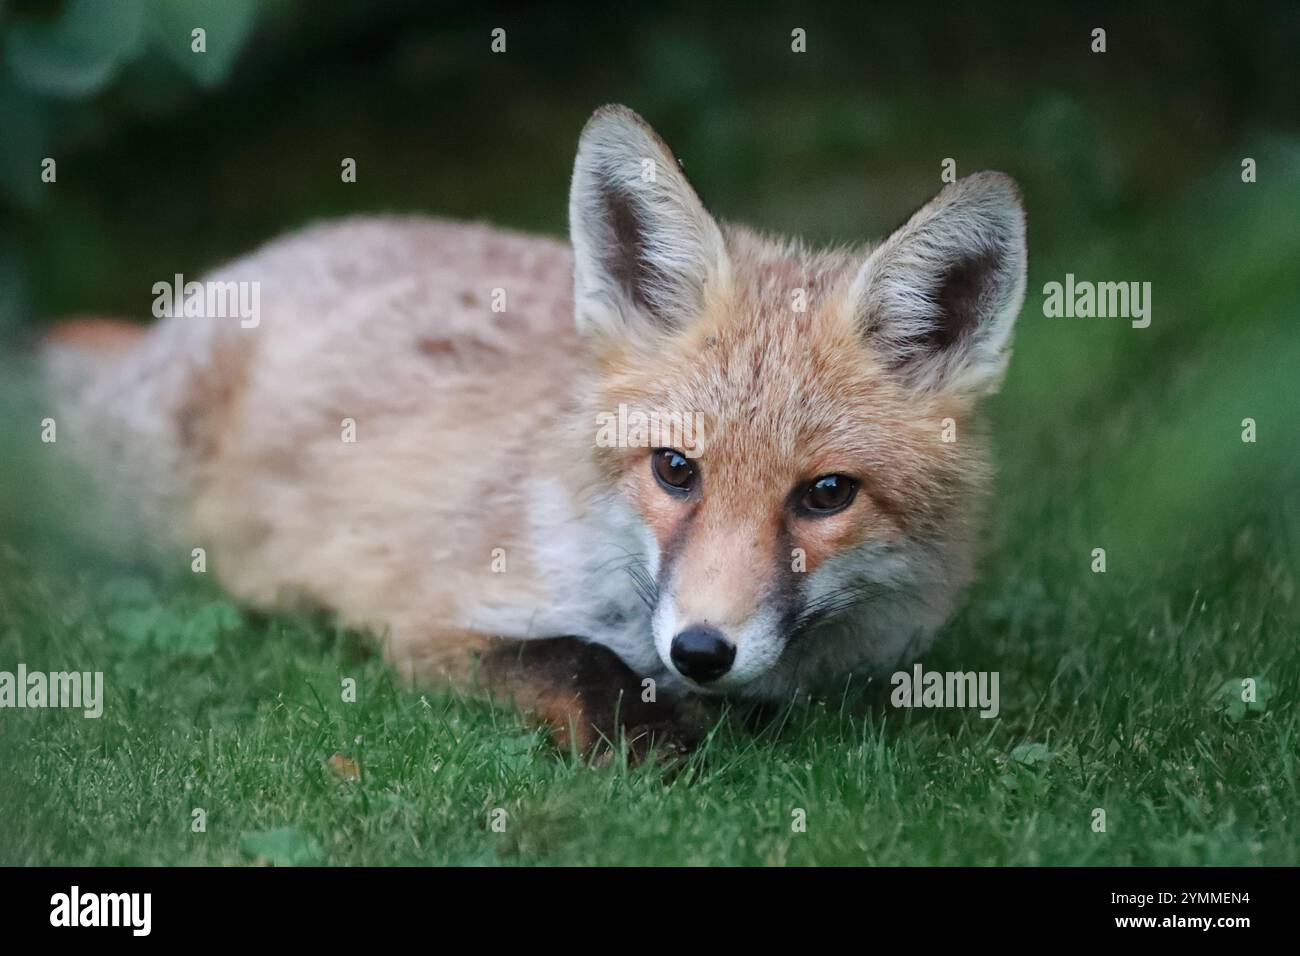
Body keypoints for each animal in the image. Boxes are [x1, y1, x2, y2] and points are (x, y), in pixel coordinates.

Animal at [40, 105, 1027, 753]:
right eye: (676, 469)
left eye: (825, 494)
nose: (702, 652)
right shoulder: (427, 618)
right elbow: (578, 660)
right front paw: (652, 741)